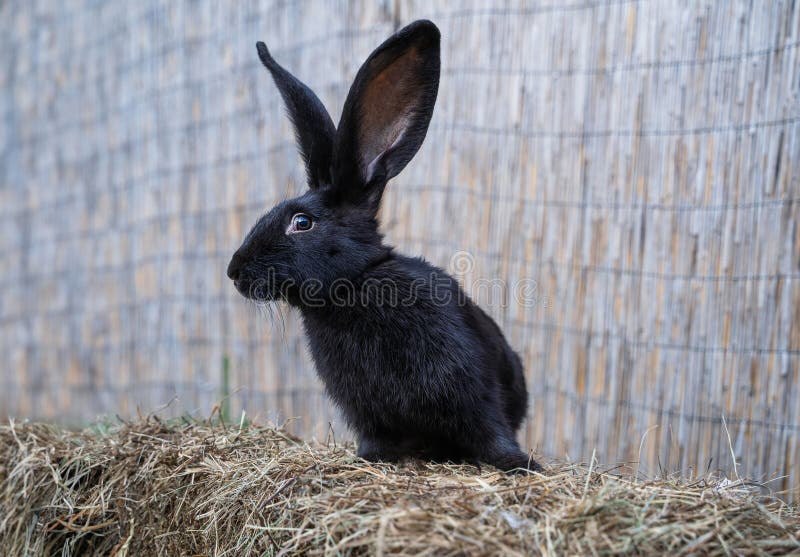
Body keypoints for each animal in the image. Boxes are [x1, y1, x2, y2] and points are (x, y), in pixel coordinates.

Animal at [227, 20, 541, 472]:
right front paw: (366, 460)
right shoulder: (366, 414)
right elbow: (376, 440)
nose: (234, 271)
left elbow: (489, 429)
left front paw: (520, 464)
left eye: (301, 223)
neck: (353, 285)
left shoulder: (469, 385)